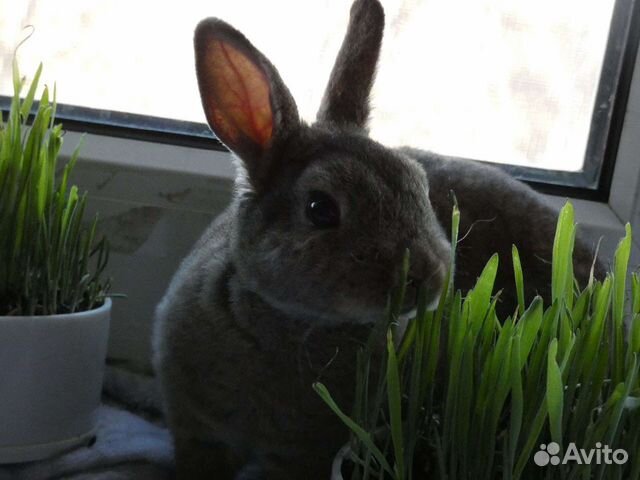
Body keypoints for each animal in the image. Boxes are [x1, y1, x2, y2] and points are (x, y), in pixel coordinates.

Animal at [152, 0, 600, 478]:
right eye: (320, 209)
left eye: (419, 185)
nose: (430, 277)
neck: (282, 321)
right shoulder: (198, 431)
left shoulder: (298, 457)